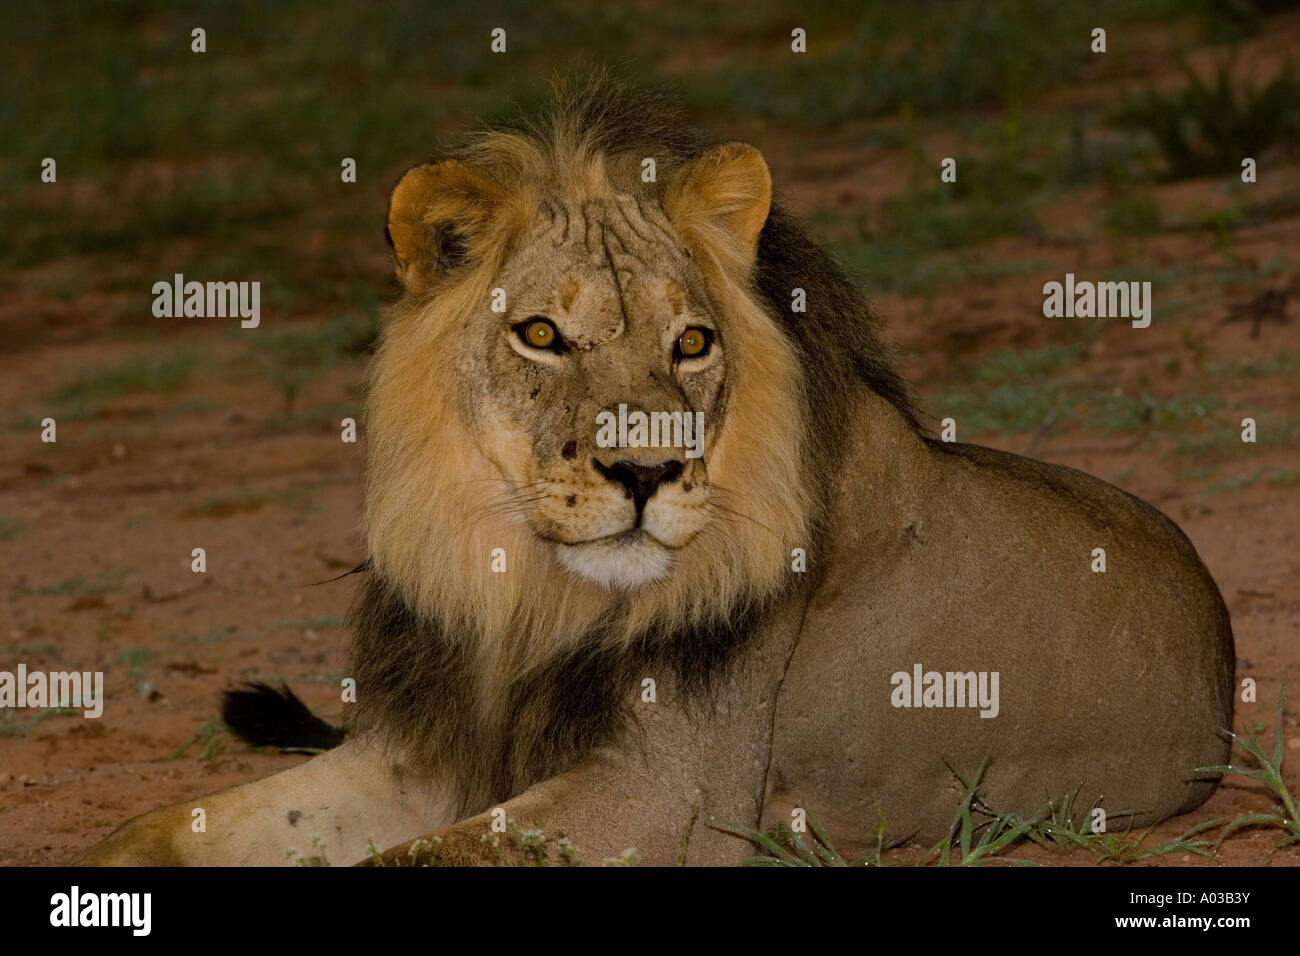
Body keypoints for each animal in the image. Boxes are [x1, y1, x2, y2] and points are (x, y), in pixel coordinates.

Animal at [76, 74, 1233, 867]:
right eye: (541, 335)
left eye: (692, 343)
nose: (646, 472)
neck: (525, 589)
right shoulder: (425, 752)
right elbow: (155, 830)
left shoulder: (671, 791)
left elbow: (421, 858)